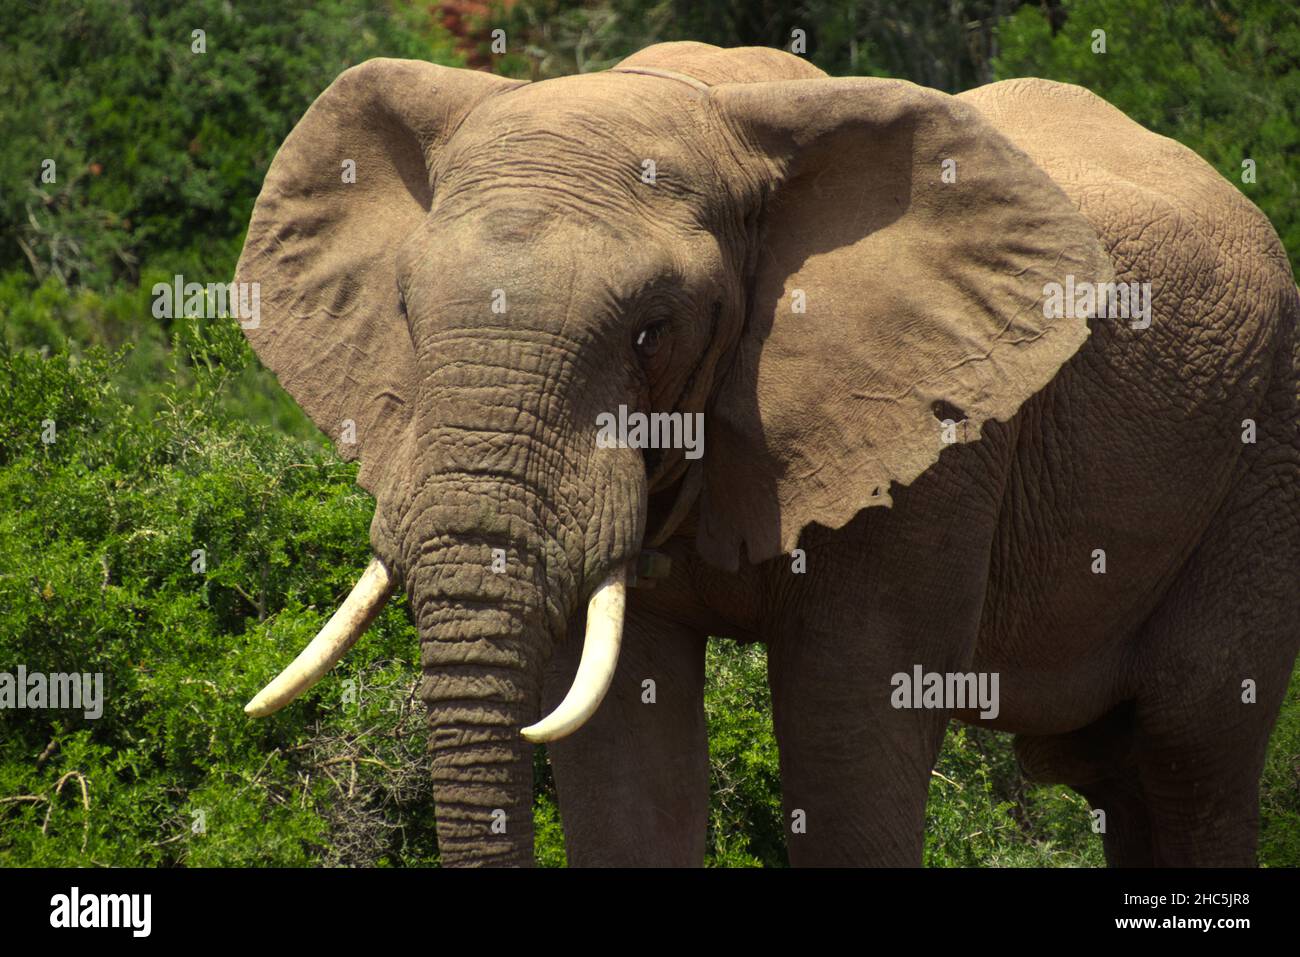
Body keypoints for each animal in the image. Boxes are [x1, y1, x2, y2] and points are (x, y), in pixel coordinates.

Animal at [233, 41, 1299, 867]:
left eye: (653, 331)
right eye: (406, 312)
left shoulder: (936, 447)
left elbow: (851, 747)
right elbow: (624, 765)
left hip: (1265, 443)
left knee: (1194, 750)